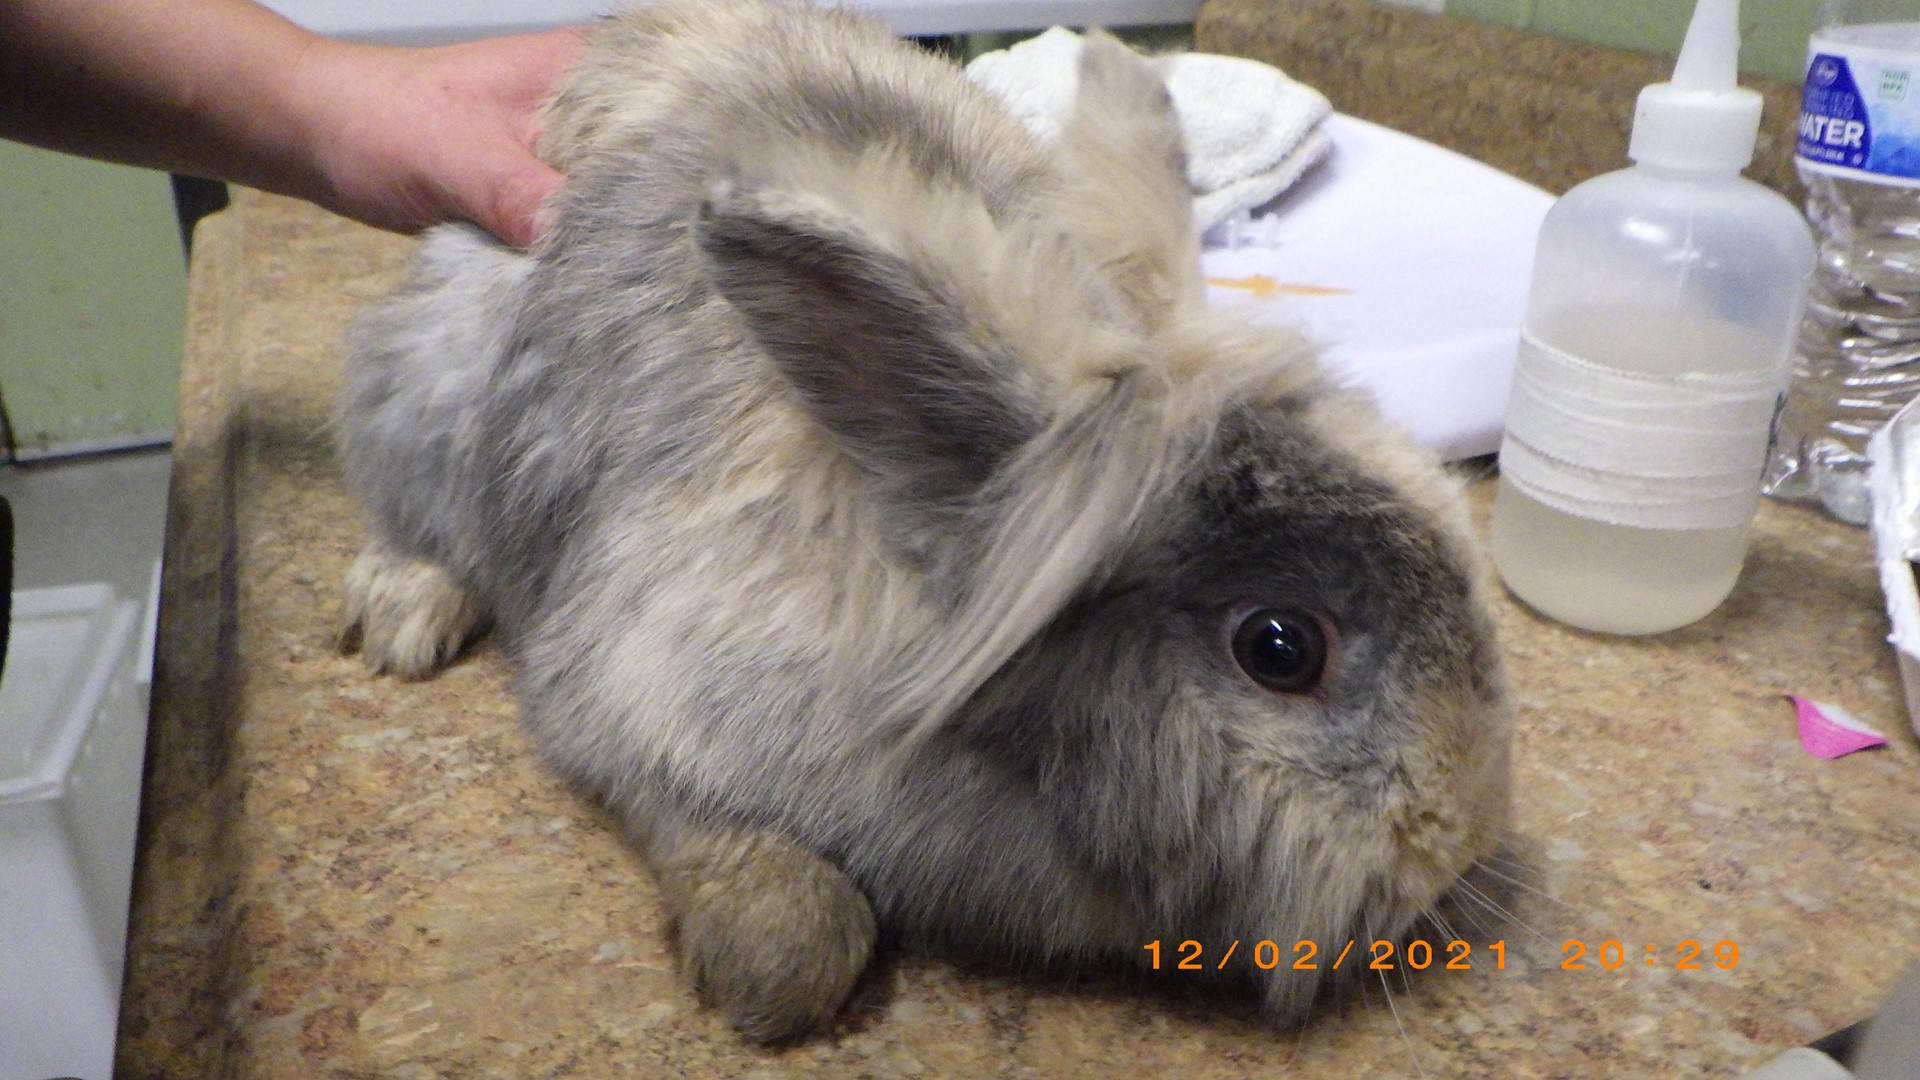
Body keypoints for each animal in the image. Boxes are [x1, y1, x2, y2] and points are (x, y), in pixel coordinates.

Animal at [336, 0, 1513, 1045]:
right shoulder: (626, 713)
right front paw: (752, 974)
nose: (1456, 838)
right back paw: (400, 619)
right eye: (1280, 648)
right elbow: (796, 938)